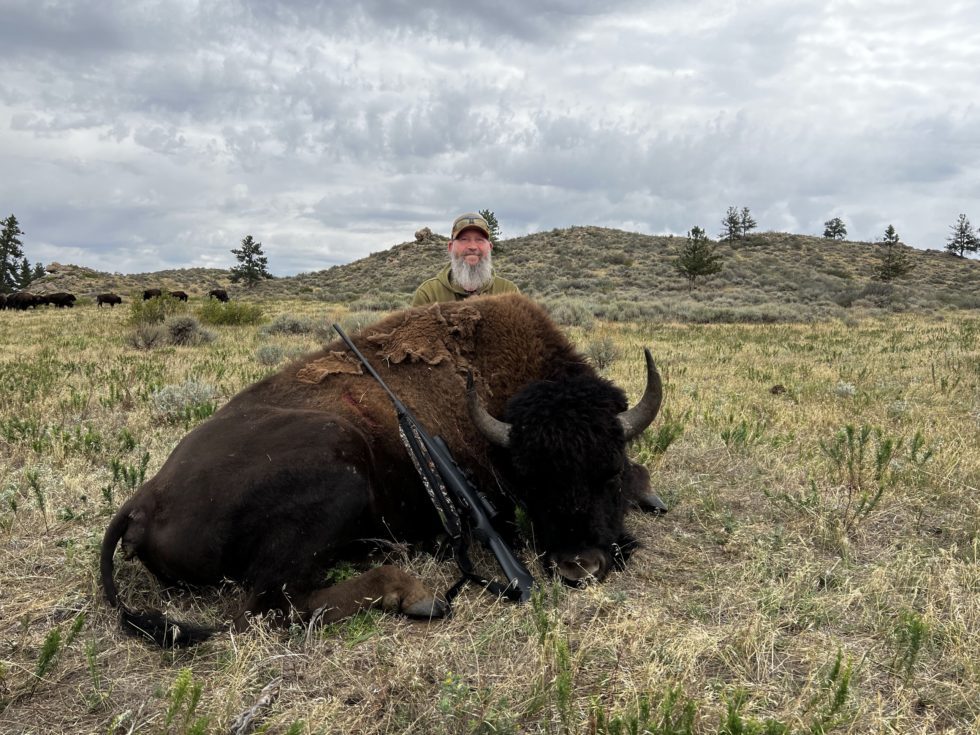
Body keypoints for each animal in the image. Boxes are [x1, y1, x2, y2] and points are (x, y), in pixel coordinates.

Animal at [101, 295, 663, 645]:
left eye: (609, 472)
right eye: (531, 480)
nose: (578, 567)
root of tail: (143, 498)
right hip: (339, 463)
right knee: (270, 603)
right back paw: (414, 595)